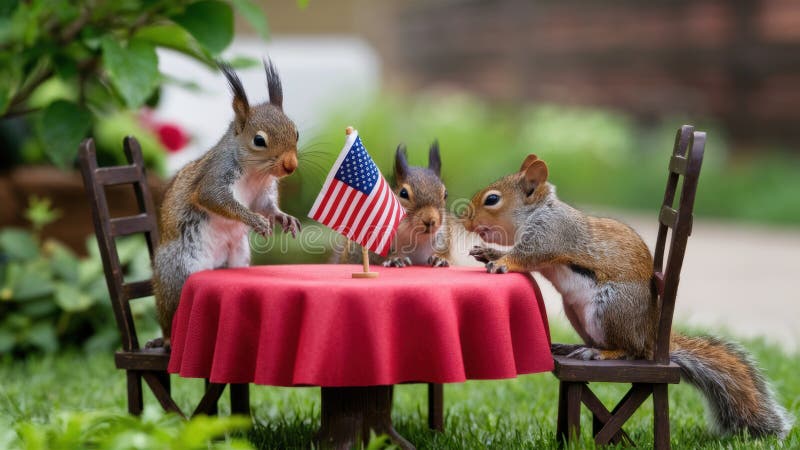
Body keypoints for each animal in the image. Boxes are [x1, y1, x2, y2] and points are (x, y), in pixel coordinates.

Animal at [151, 60, 301, 349]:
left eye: (296, 132)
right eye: (259, 140)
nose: (291, 166)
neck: (255, 173)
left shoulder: (263, 193)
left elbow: (267, 206)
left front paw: (283, 217)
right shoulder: (214, 177)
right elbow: (216, 199)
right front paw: (255, 220)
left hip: (238, 256)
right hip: (177, 272)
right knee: (171, 314)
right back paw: (167, 338)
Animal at [463, 154, 793, 438]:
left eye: (492, 199)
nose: (465, 220)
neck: (538, 212)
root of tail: (650, 340)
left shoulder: (551, 235)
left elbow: (527, 256)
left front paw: (502, 262)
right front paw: (487, 252)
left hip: (611, 309)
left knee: (628, 350)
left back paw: (601, 354)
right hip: (577, 314)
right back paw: (575, 347)